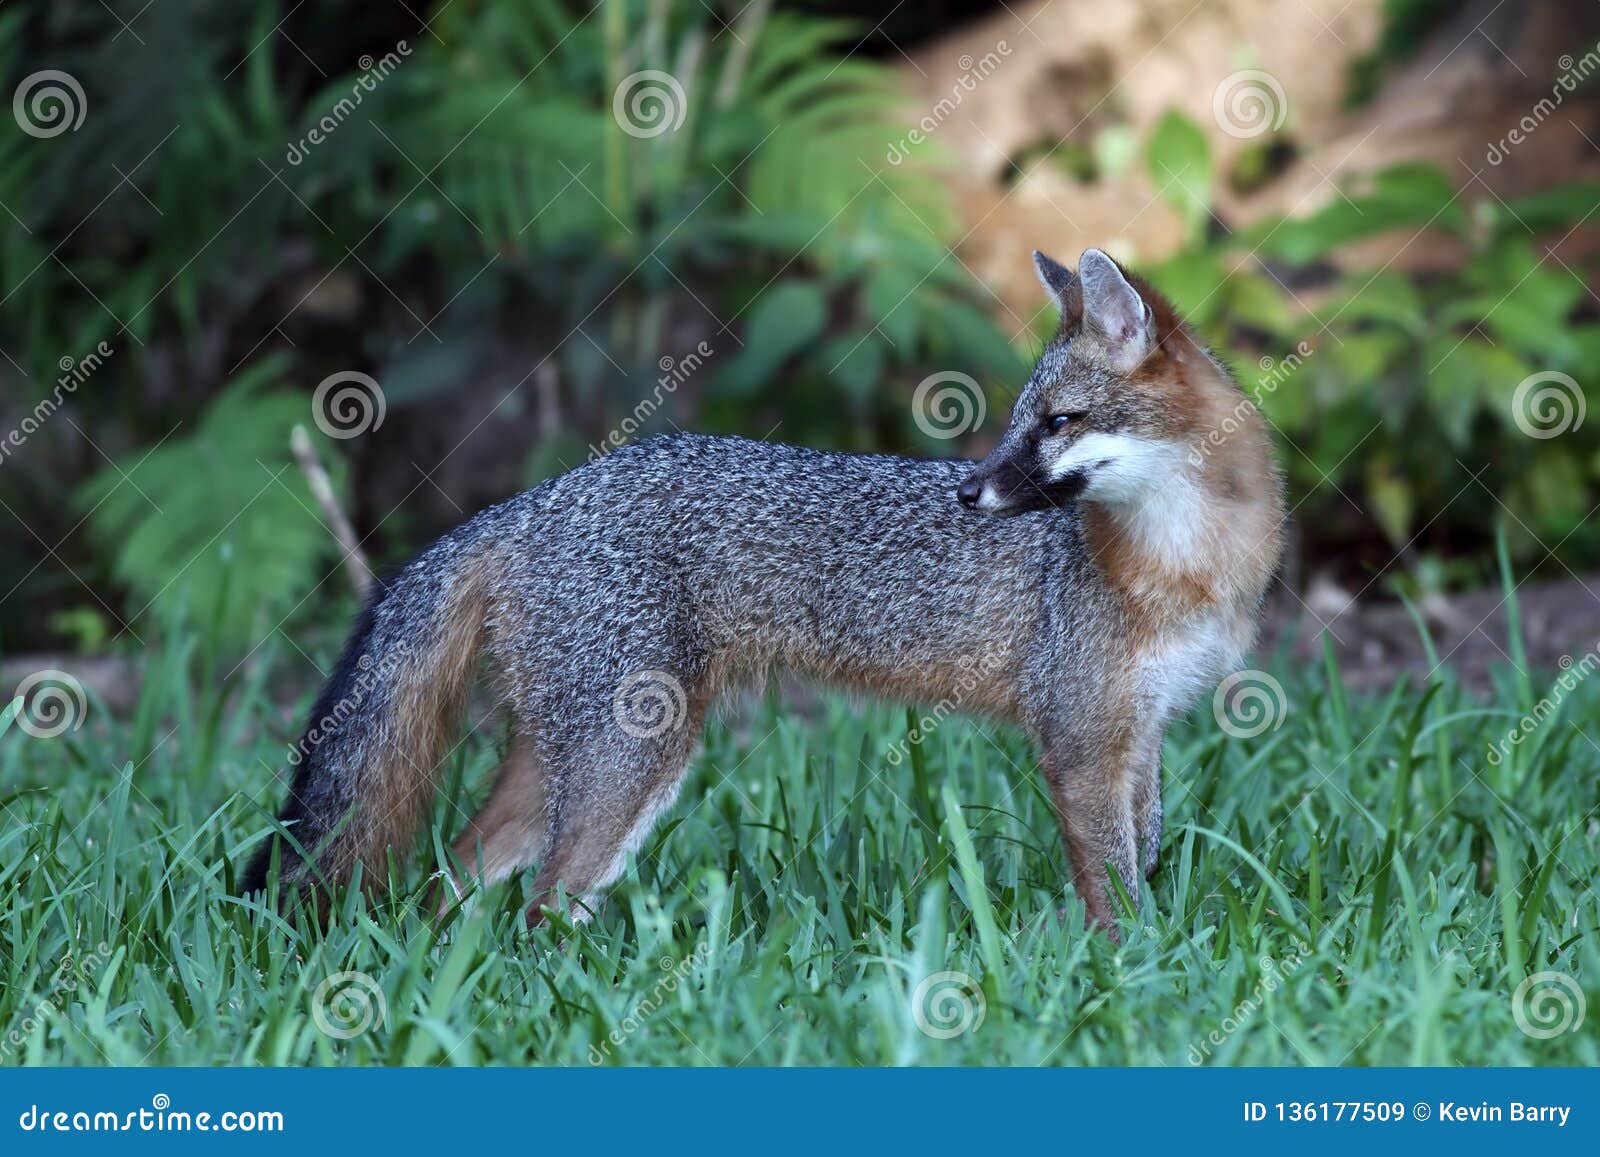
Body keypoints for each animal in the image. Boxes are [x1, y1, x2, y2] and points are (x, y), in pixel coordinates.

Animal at [238, 247, 1285, 934]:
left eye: (1058, 422)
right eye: (1021, 420)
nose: (970, 491)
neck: (1186, 562)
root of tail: (533, 500)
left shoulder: (1140, 731)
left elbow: (1146, 853)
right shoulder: (1080, 741)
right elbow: (1116, 887)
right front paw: (1130, 972)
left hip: (559, 763)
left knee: (453, 877)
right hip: (630, 759)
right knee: (541, 904)